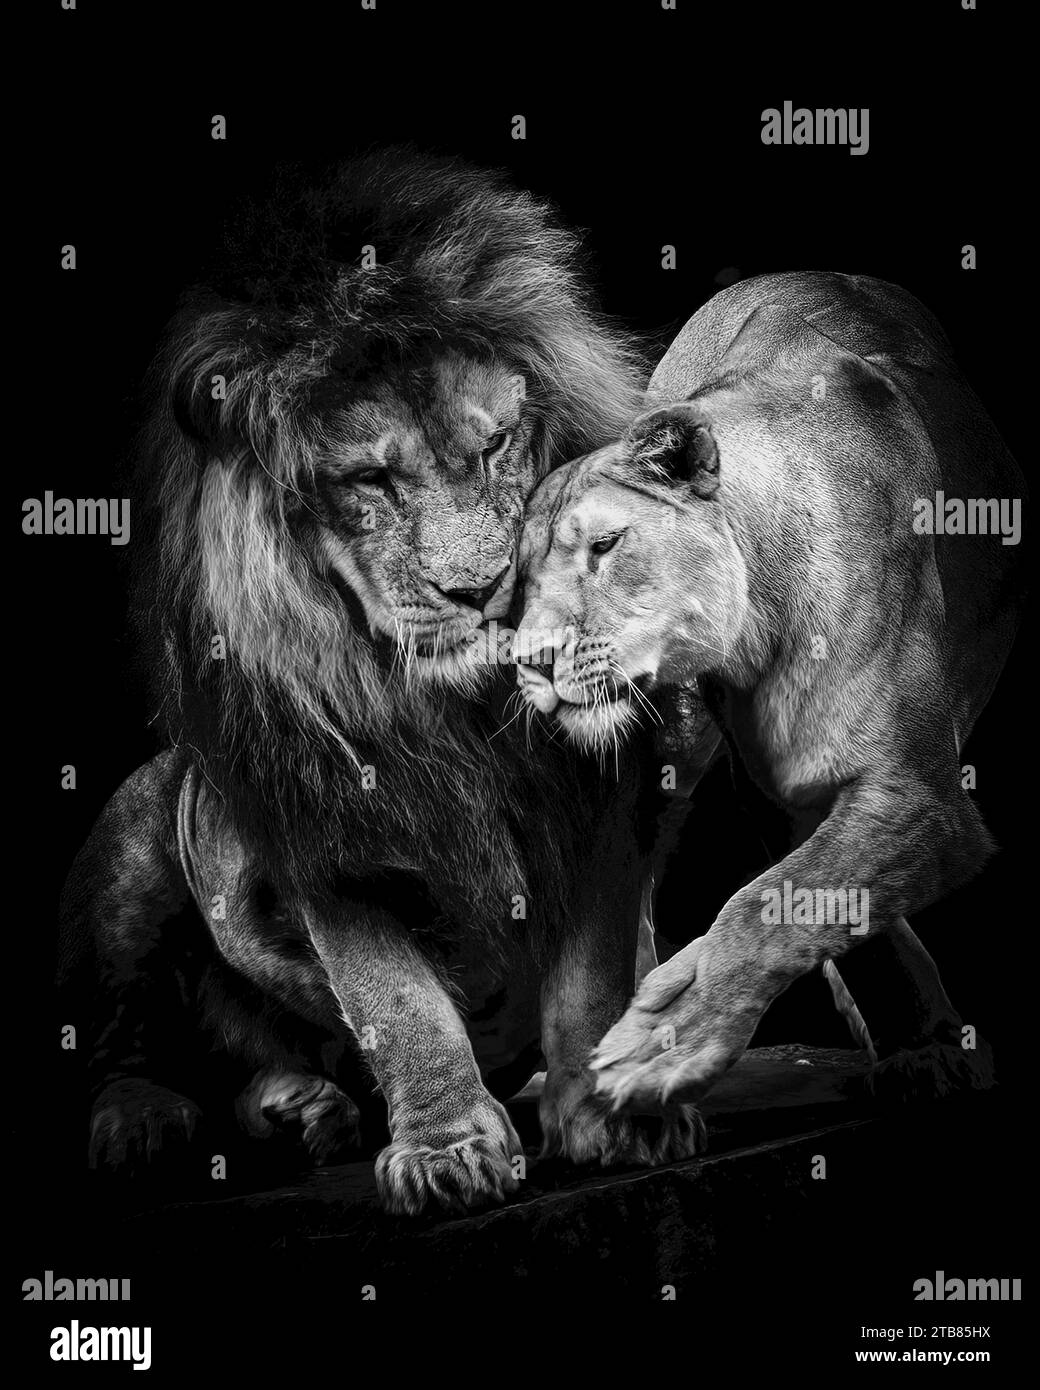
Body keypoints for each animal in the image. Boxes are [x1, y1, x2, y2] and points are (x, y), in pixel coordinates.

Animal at [58, 149, 708, 1216]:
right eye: (370, 480)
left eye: (494, 445)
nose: (484, 589)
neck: (459, 708)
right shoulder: (325, 823)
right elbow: (394, 1001)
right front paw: (446, 1146)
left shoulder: (607, 793)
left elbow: (596, 973)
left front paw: (610, 1114)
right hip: (131, 849)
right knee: (124, 1043)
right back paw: (150, 1121)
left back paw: (304, 1107)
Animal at [514, 270, 1024, 1123]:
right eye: (520, 578)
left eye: (607, 545)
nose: (530, 661)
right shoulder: (774, 788)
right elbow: (808, 896)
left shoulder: (914, 788)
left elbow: (774, 900)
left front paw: (671, 1035)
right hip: (674, 748)